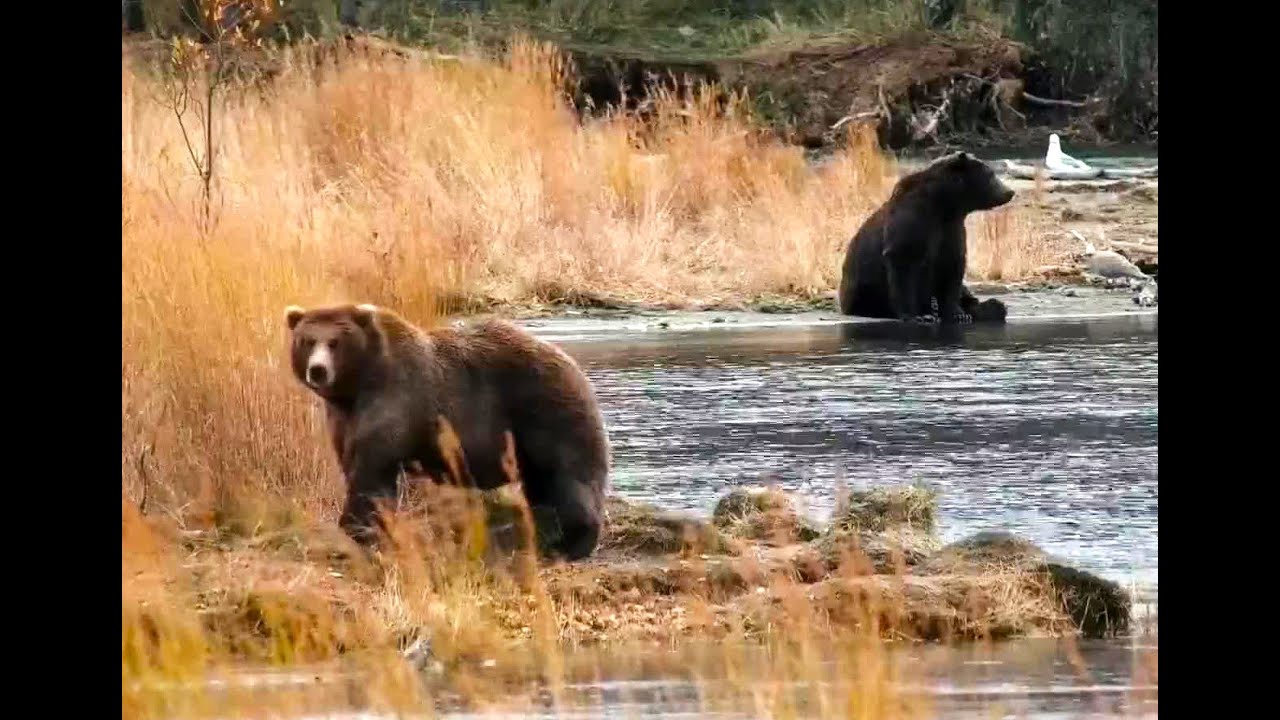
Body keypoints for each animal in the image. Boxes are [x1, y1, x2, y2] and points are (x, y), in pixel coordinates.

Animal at [284, 303, 610, 561]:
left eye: (335, 342)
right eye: (307, 341)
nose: (318, 371)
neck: (358, 386)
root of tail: (572, 365)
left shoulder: (396, 399)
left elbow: (371, 473)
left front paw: (355, 529)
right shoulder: (345, 418)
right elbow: (357, 464)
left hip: (546, 410)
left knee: (569, 477)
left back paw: (573, 542)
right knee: (542, 486)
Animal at [837, 151, 1015, 325]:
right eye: (991, 174)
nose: (1010, 192)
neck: (944, 205)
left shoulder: (952, 229)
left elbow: (952, 268)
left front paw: (958, 314)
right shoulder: (914, 221)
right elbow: (904, 264)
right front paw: (916, 316)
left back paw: (993, 306)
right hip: (864, 292)